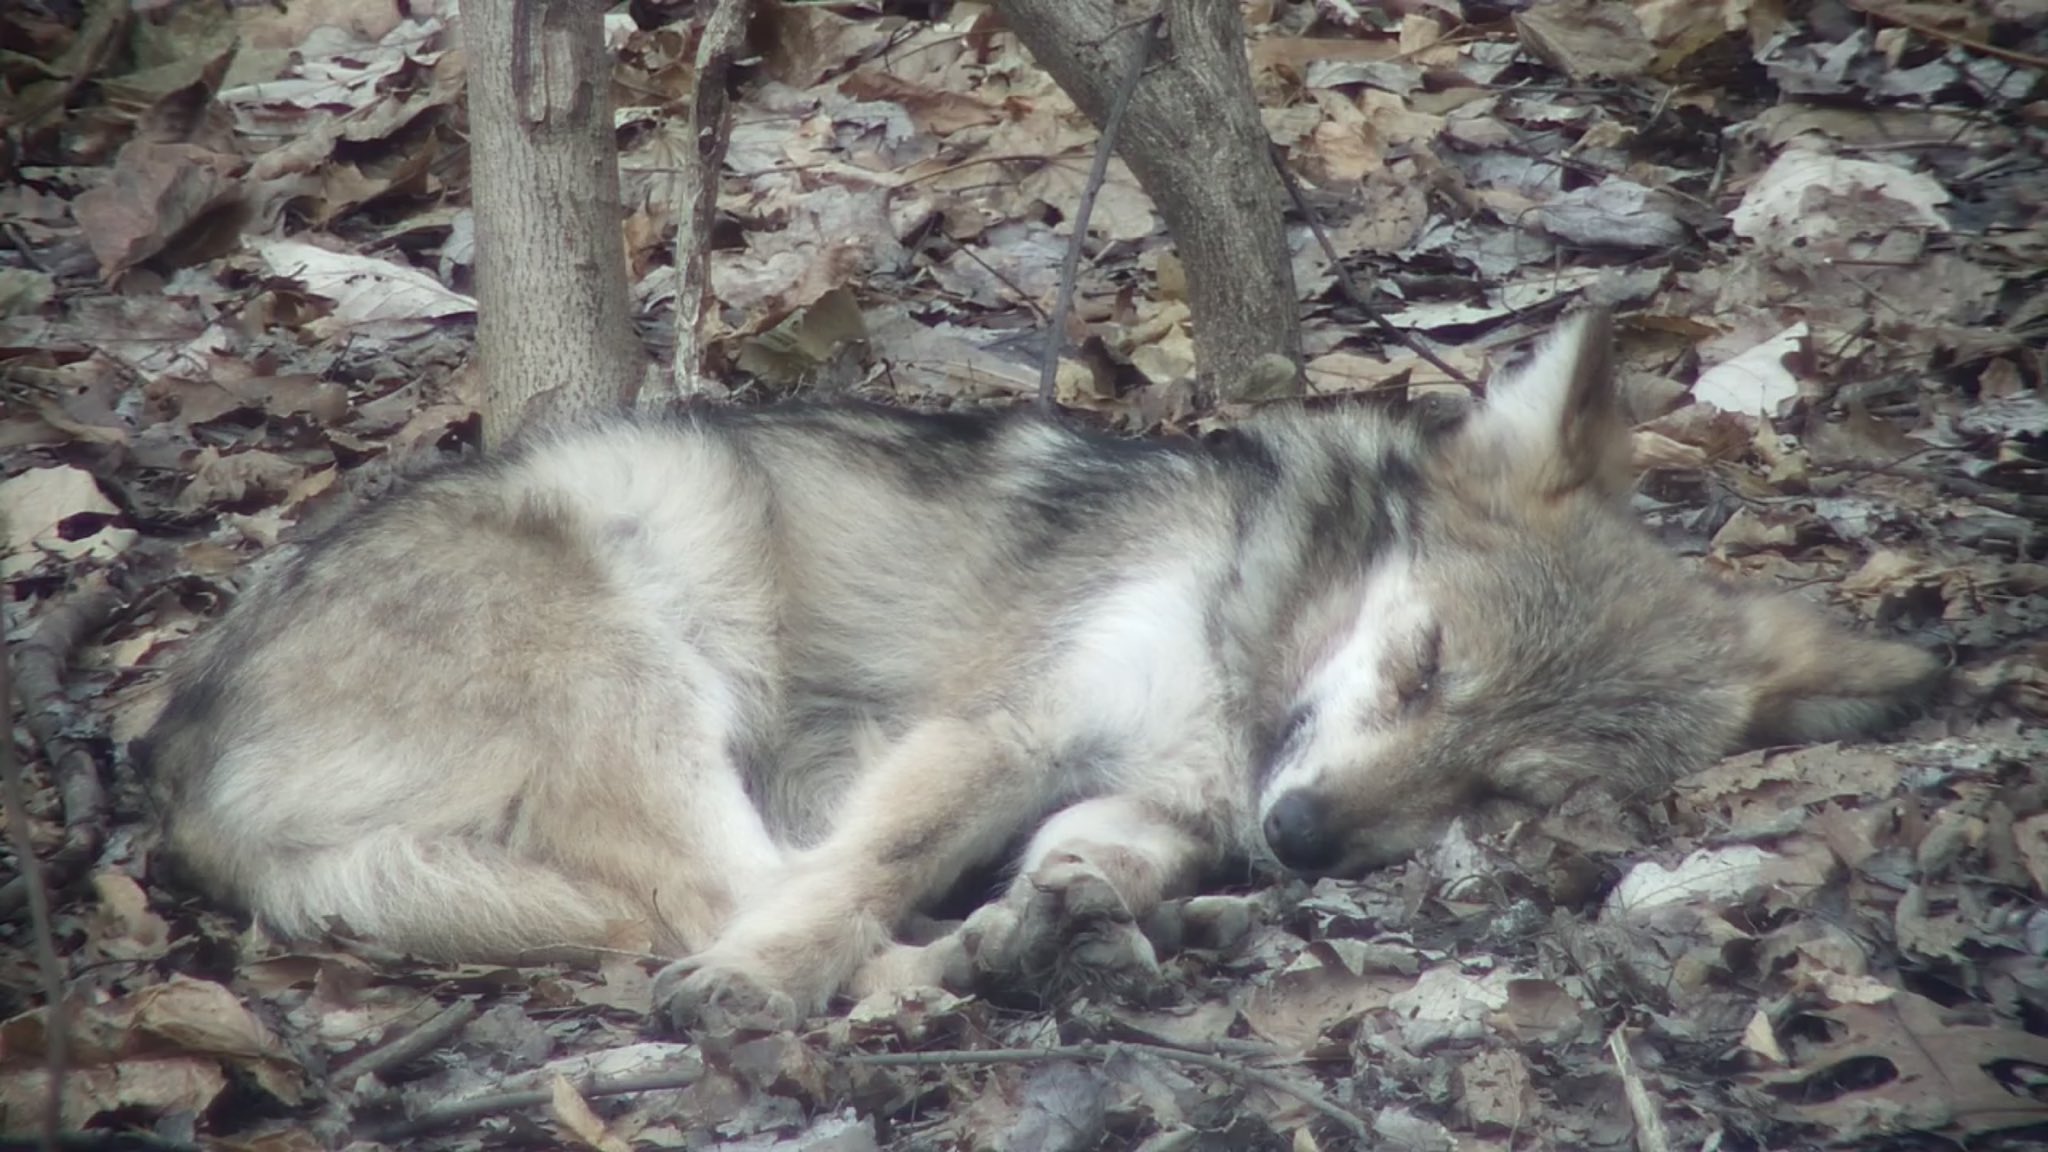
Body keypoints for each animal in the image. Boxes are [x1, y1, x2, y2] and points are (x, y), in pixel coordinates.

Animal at [139, 311, 1939, 1026]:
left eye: (1498, 789)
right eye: (1424, 665)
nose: (1299, 843)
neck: (1240, 648)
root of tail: (185, 777)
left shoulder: (1143, 795)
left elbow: (1102, 853)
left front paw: (1076, 905)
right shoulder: (992, 731)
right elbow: (857, 871)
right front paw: (797, 976)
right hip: (648, 626)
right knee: (731, 891)